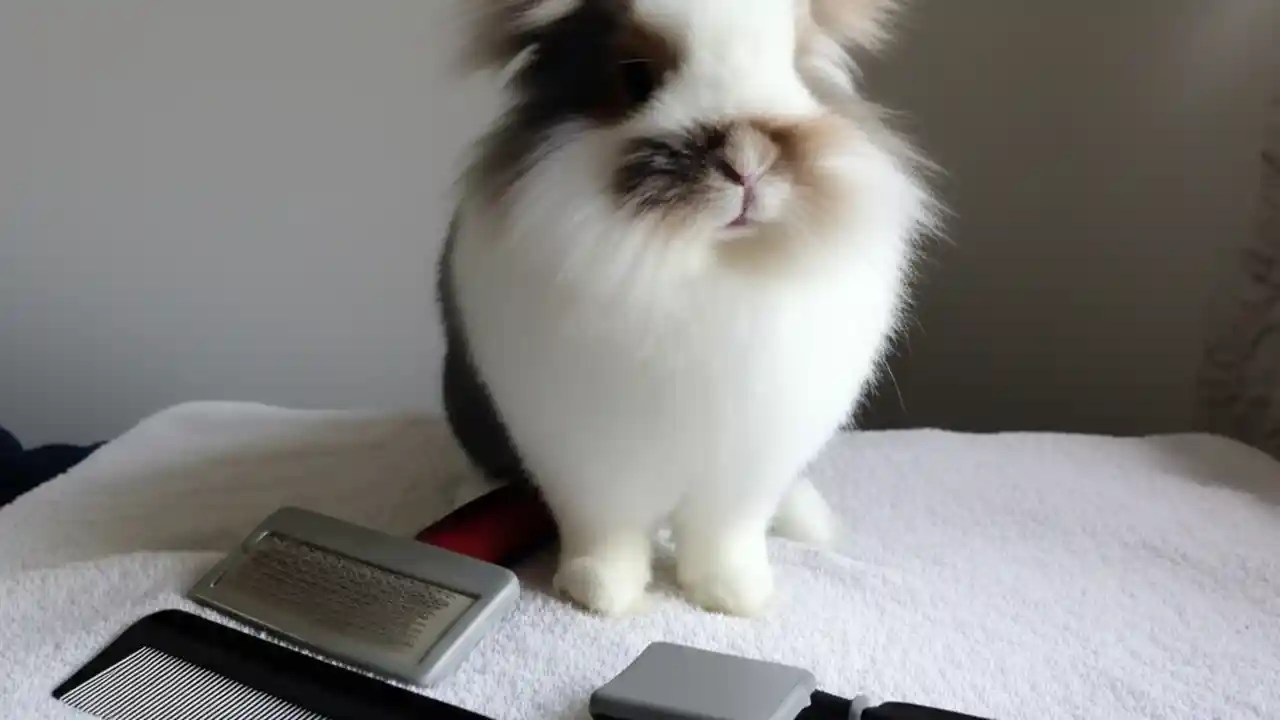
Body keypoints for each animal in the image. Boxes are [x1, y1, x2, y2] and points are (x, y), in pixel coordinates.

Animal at [439, 0, 936, 617]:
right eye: (635, 77)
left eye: (796, 67)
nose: (748, 163)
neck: (698, 260)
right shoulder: (589, 462)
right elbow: (605, 532)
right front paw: (599, 594)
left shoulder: (744, 469)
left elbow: (726, 536)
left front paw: (734, 595)